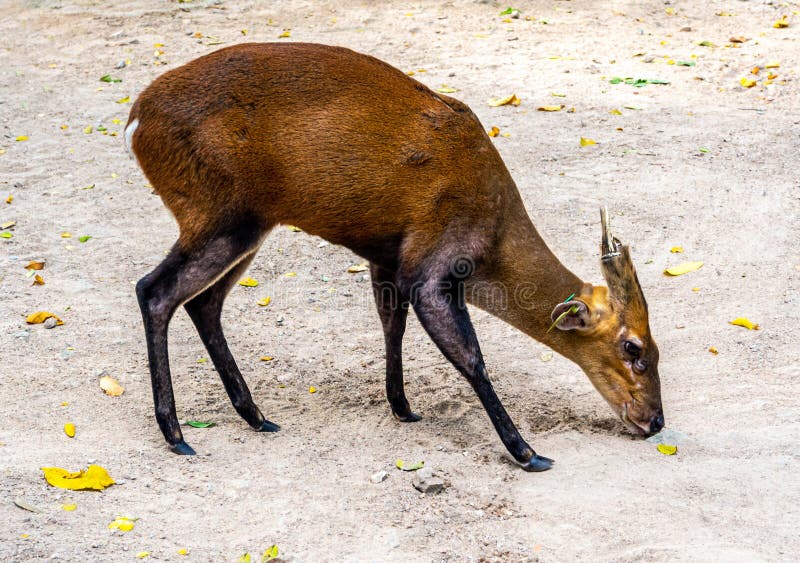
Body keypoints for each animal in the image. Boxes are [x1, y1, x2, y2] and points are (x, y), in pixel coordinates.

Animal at [126, 43, 664, 472]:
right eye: (633, 348)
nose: (656, 421)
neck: (493, 237)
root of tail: (135, 121)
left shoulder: (387, 258)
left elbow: (392, 325)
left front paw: (403, 407)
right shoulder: (433, 263)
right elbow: (471, 357)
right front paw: (528, 453)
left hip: (247, 226)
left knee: (203, 302)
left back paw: (255, 416)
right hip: (221, 213)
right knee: (155, 290)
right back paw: (177, 434)